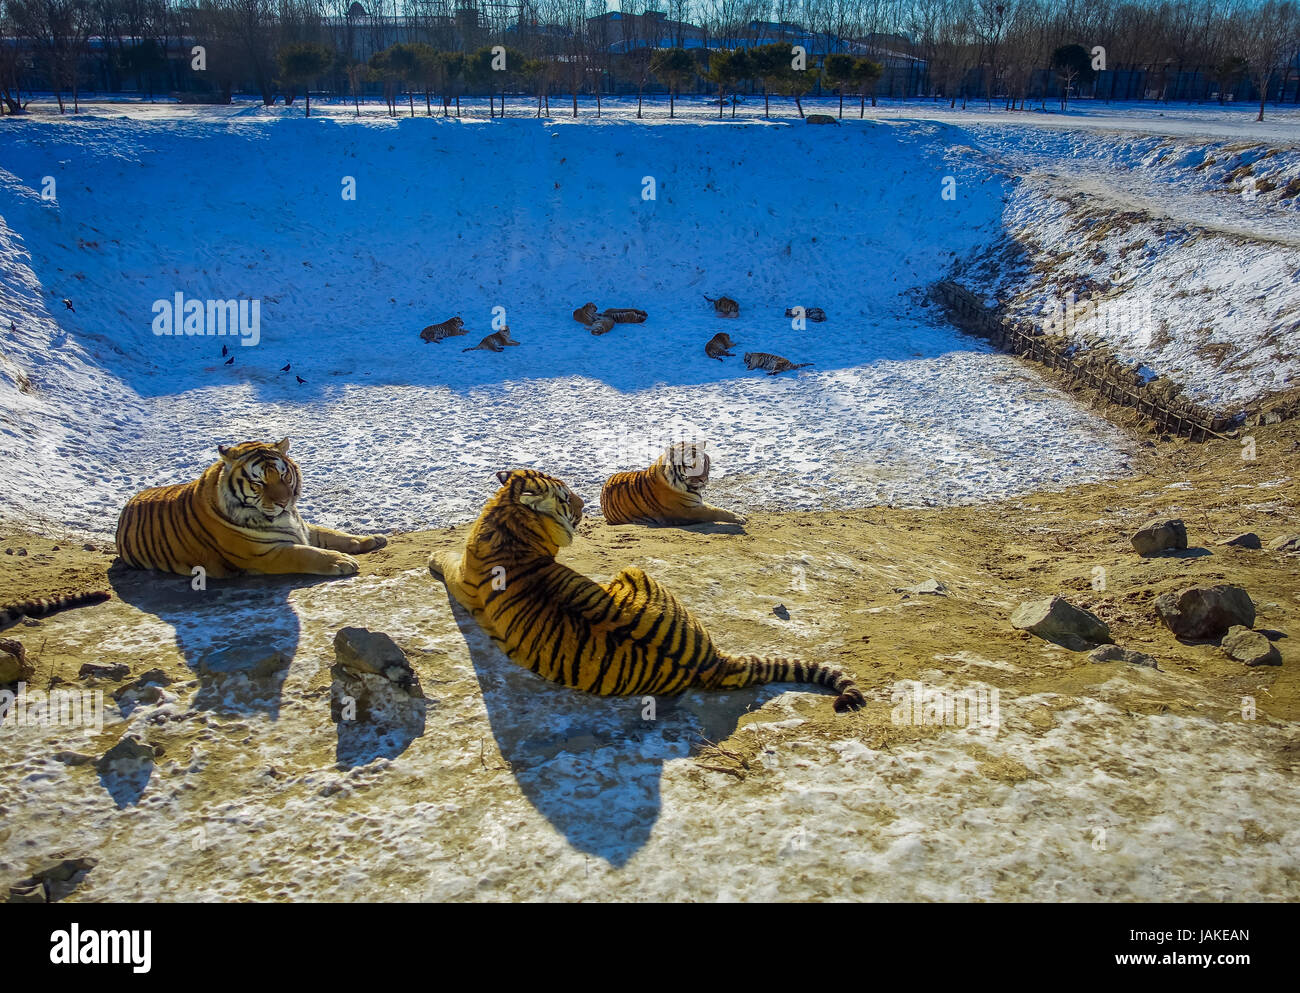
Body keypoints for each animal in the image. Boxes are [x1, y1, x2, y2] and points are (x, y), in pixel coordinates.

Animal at [115, 438, 386, 579]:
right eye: (259, 483)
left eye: (284, 476)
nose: (284, 502)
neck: (284, 518)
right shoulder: (265, 554)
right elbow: (307, 553)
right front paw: (341, 561)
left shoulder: (303, 528)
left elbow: (335, 534)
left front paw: (372, 539)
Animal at [428, 469, 865, 713]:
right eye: (566, 497)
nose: (584, 504)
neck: (510, 520)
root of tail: (712, 660)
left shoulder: (464, 580)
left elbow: (446, 560)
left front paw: (433, 556)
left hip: (631, 567)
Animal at [600, 441, 745, 526]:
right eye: (691, 465)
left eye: (704, 463)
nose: (703, 479)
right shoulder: (687, 511)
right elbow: (715, 512)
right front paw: (740, 519)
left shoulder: (697, 503)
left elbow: (718, 508)